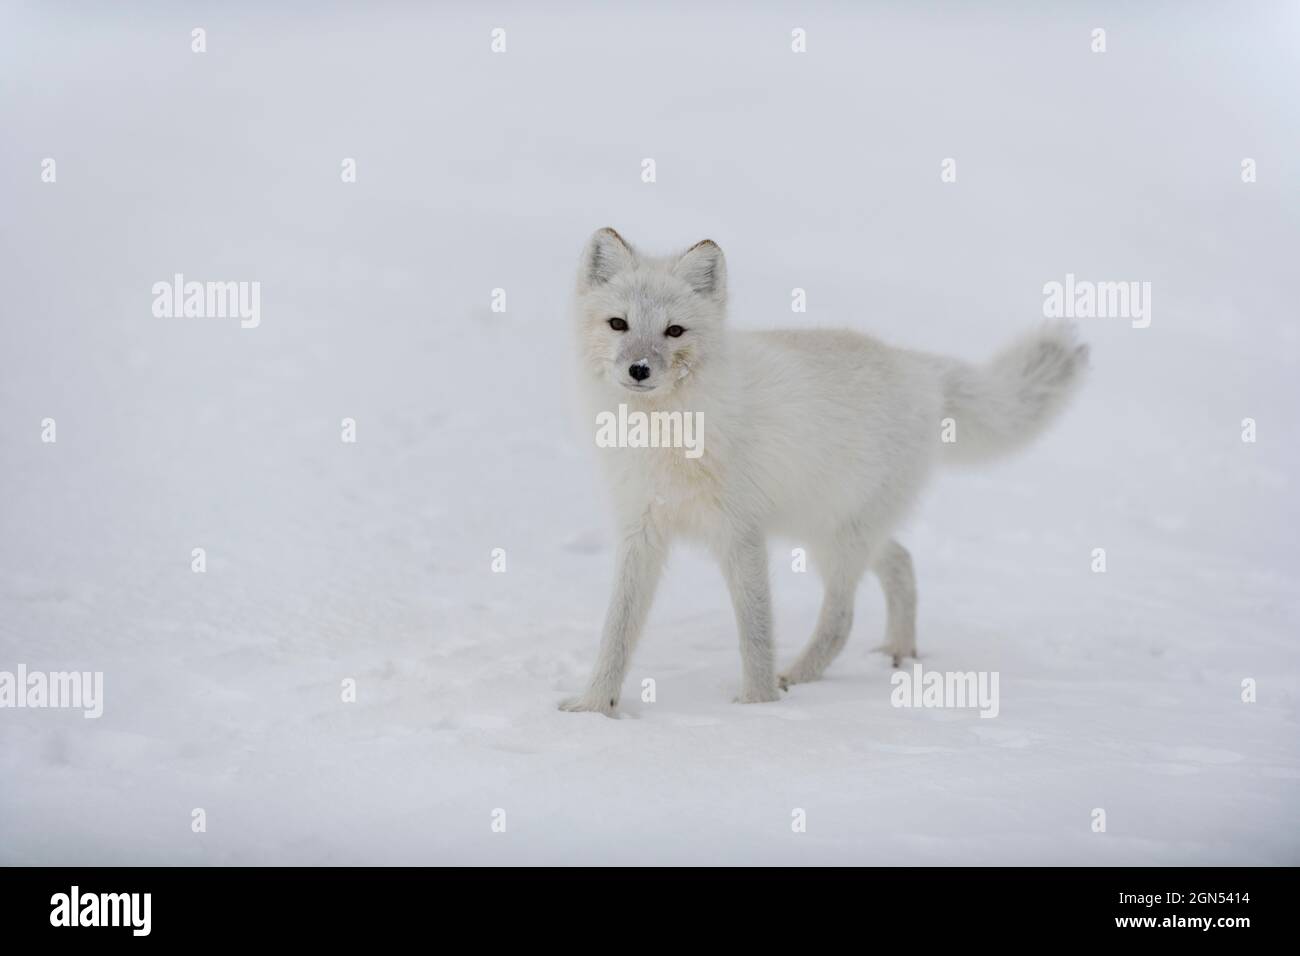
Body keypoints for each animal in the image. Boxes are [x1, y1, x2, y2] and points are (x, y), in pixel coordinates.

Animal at [560, 227, 1088, 716]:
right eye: (618, 324)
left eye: (674, 331)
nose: (640, 369)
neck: (667, 432)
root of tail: (918, 368)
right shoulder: (642, 531)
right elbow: (617, 630)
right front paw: (595, 706)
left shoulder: (741, 533)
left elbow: (755, 632)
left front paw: (758, 704)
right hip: (826, 528)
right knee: (900, 561)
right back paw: (899, 652)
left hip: (840, 538)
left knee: (842, 618)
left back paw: (795, 675)